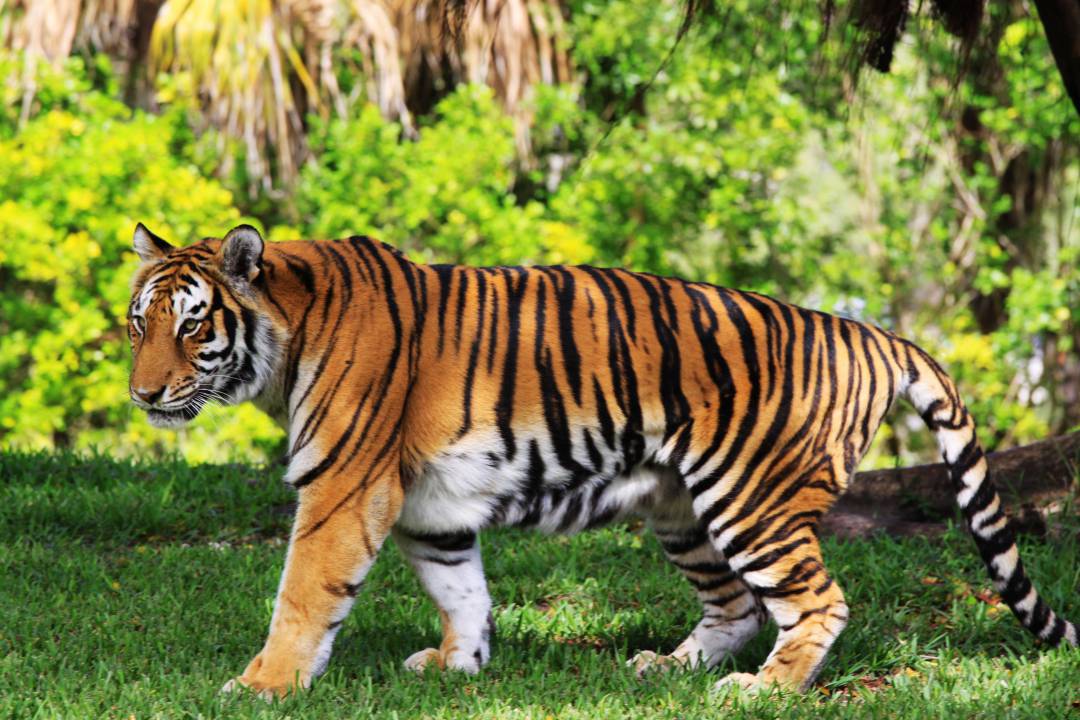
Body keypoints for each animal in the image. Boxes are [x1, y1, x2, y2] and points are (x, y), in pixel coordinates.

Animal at [127, 222, 1077, 699]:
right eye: (139, 323)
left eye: (193, 326)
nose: (142, 394)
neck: (285, 341)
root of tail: (871, 331)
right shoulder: (430, 505)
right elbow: (460, 589)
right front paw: (459, 665)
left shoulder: (342, 484)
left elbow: (303, 594)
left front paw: (264, 685)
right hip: (682, 507)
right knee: (735, 605)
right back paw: (670, 668)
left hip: (752, 501)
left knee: (818, 602)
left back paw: (764, 690)